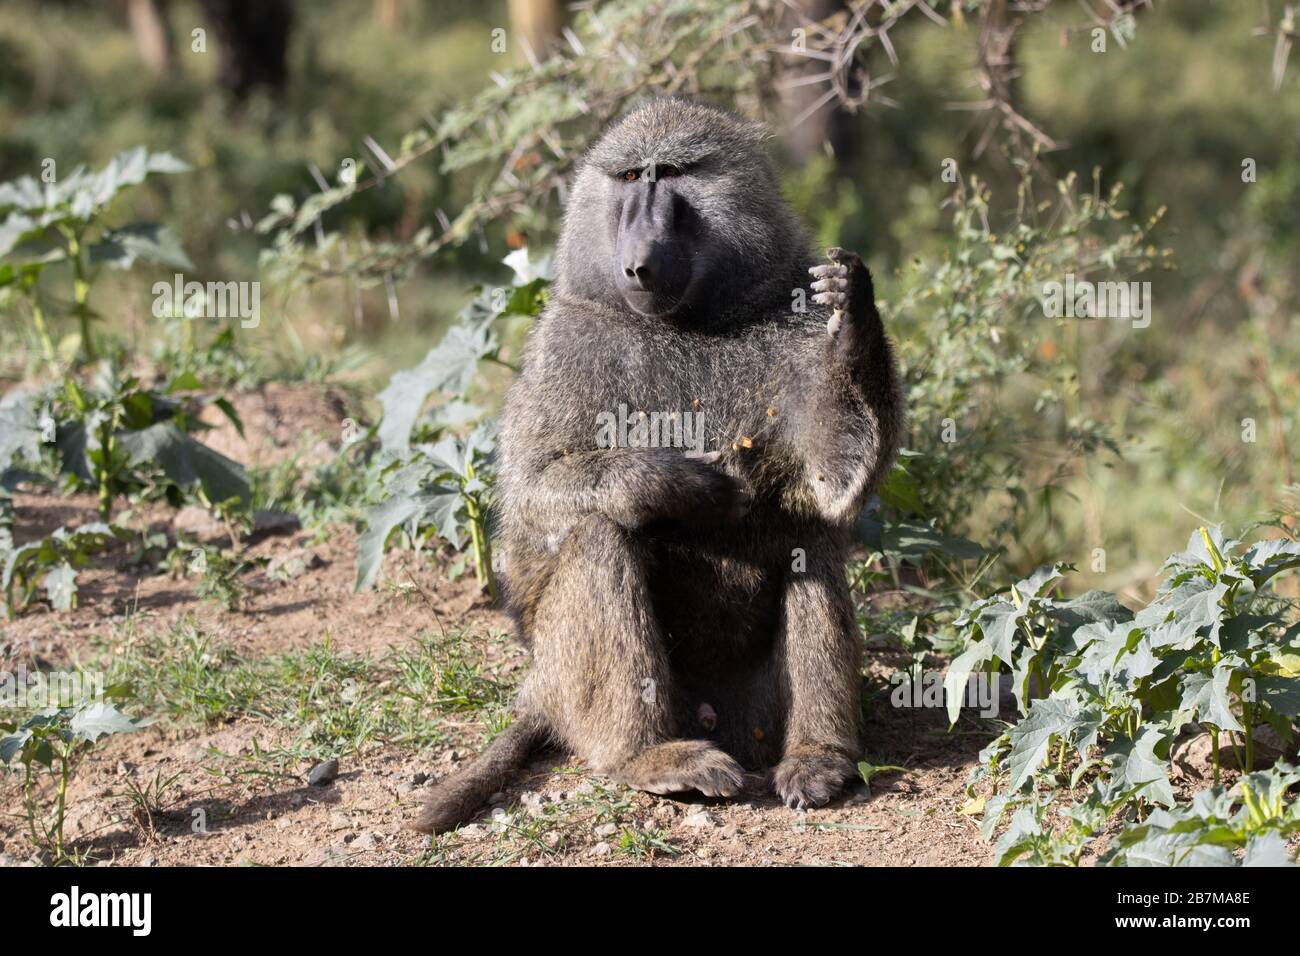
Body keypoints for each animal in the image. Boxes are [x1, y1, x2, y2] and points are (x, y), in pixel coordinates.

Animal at [413, 98, 903, 834]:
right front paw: (682, 483)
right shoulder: (568, 343)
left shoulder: (791, 321)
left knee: (807, 541)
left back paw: (818, 758)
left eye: (671, 174)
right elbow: (531, 495)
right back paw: (649, 758)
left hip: (751, 712)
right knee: (598, 536)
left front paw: (852, 313)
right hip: (567, 671)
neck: (687, 320)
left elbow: (832, 481)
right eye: (628, 178)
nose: (639, 261)